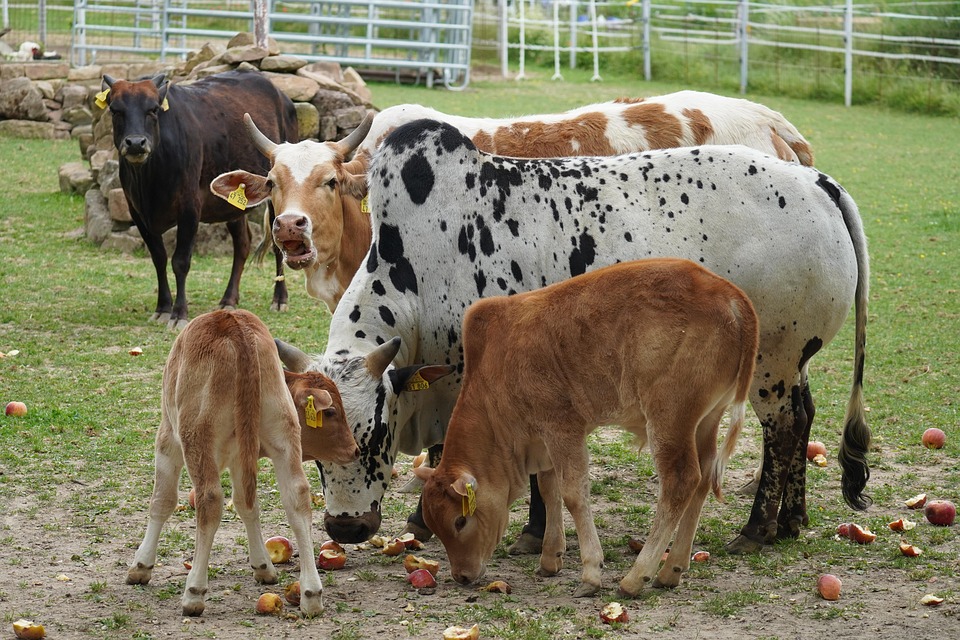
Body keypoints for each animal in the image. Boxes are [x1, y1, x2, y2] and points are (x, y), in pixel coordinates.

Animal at [101, 70, 298, 330]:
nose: (135, 143)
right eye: (115, 110)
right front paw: (162, 308)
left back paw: (279, 299)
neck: (150, 181)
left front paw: (178, 313)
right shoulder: (138, 213)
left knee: (277, 246)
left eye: (153, 109)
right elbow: (159, 258)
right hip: (232, 205)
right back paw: (228, 299)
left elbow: (180, 261)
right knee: (242, 244)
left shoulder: (189, 209)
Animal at [126, 309, 360, 617]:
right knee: (297, 498)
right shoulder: (242, 458)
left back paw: (194, 592)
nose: (355, 449)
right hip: (284, 435)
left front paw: (141, 565)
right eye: (332, 411)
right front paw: (263, 565)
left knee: (210, 500)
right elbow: (247, 505)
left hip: (195, 437)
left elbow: (162, 501)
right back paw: (311, 593)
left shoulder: (167, 439)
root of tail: (235, 324)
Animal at [273, 119, 869, 556]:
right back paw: (793, 519)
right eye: (313, 448)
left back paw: (758, 528)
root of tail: (820, 184)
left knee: (784, 428)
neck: (417, 271)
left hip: (772, 360)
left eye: (374, 433)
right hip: (792, 362)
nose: (346, 529)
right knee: (804, 415)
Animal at [415, 258, 759, 597]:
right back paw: (671, 569)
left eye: (460, 521)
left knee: (681, 482)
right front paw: (550, 559)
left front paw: (591, 573)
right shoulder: (544, 441)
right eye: (435, 525)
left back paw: (636, 577)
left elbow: (573, 494)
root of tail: (730, 295)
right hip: (706, 420)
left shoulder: (563, 427)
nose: (462, 575)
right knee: (704, 478)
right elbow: (548, 488)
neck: (496, 366)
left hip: (669, 419)